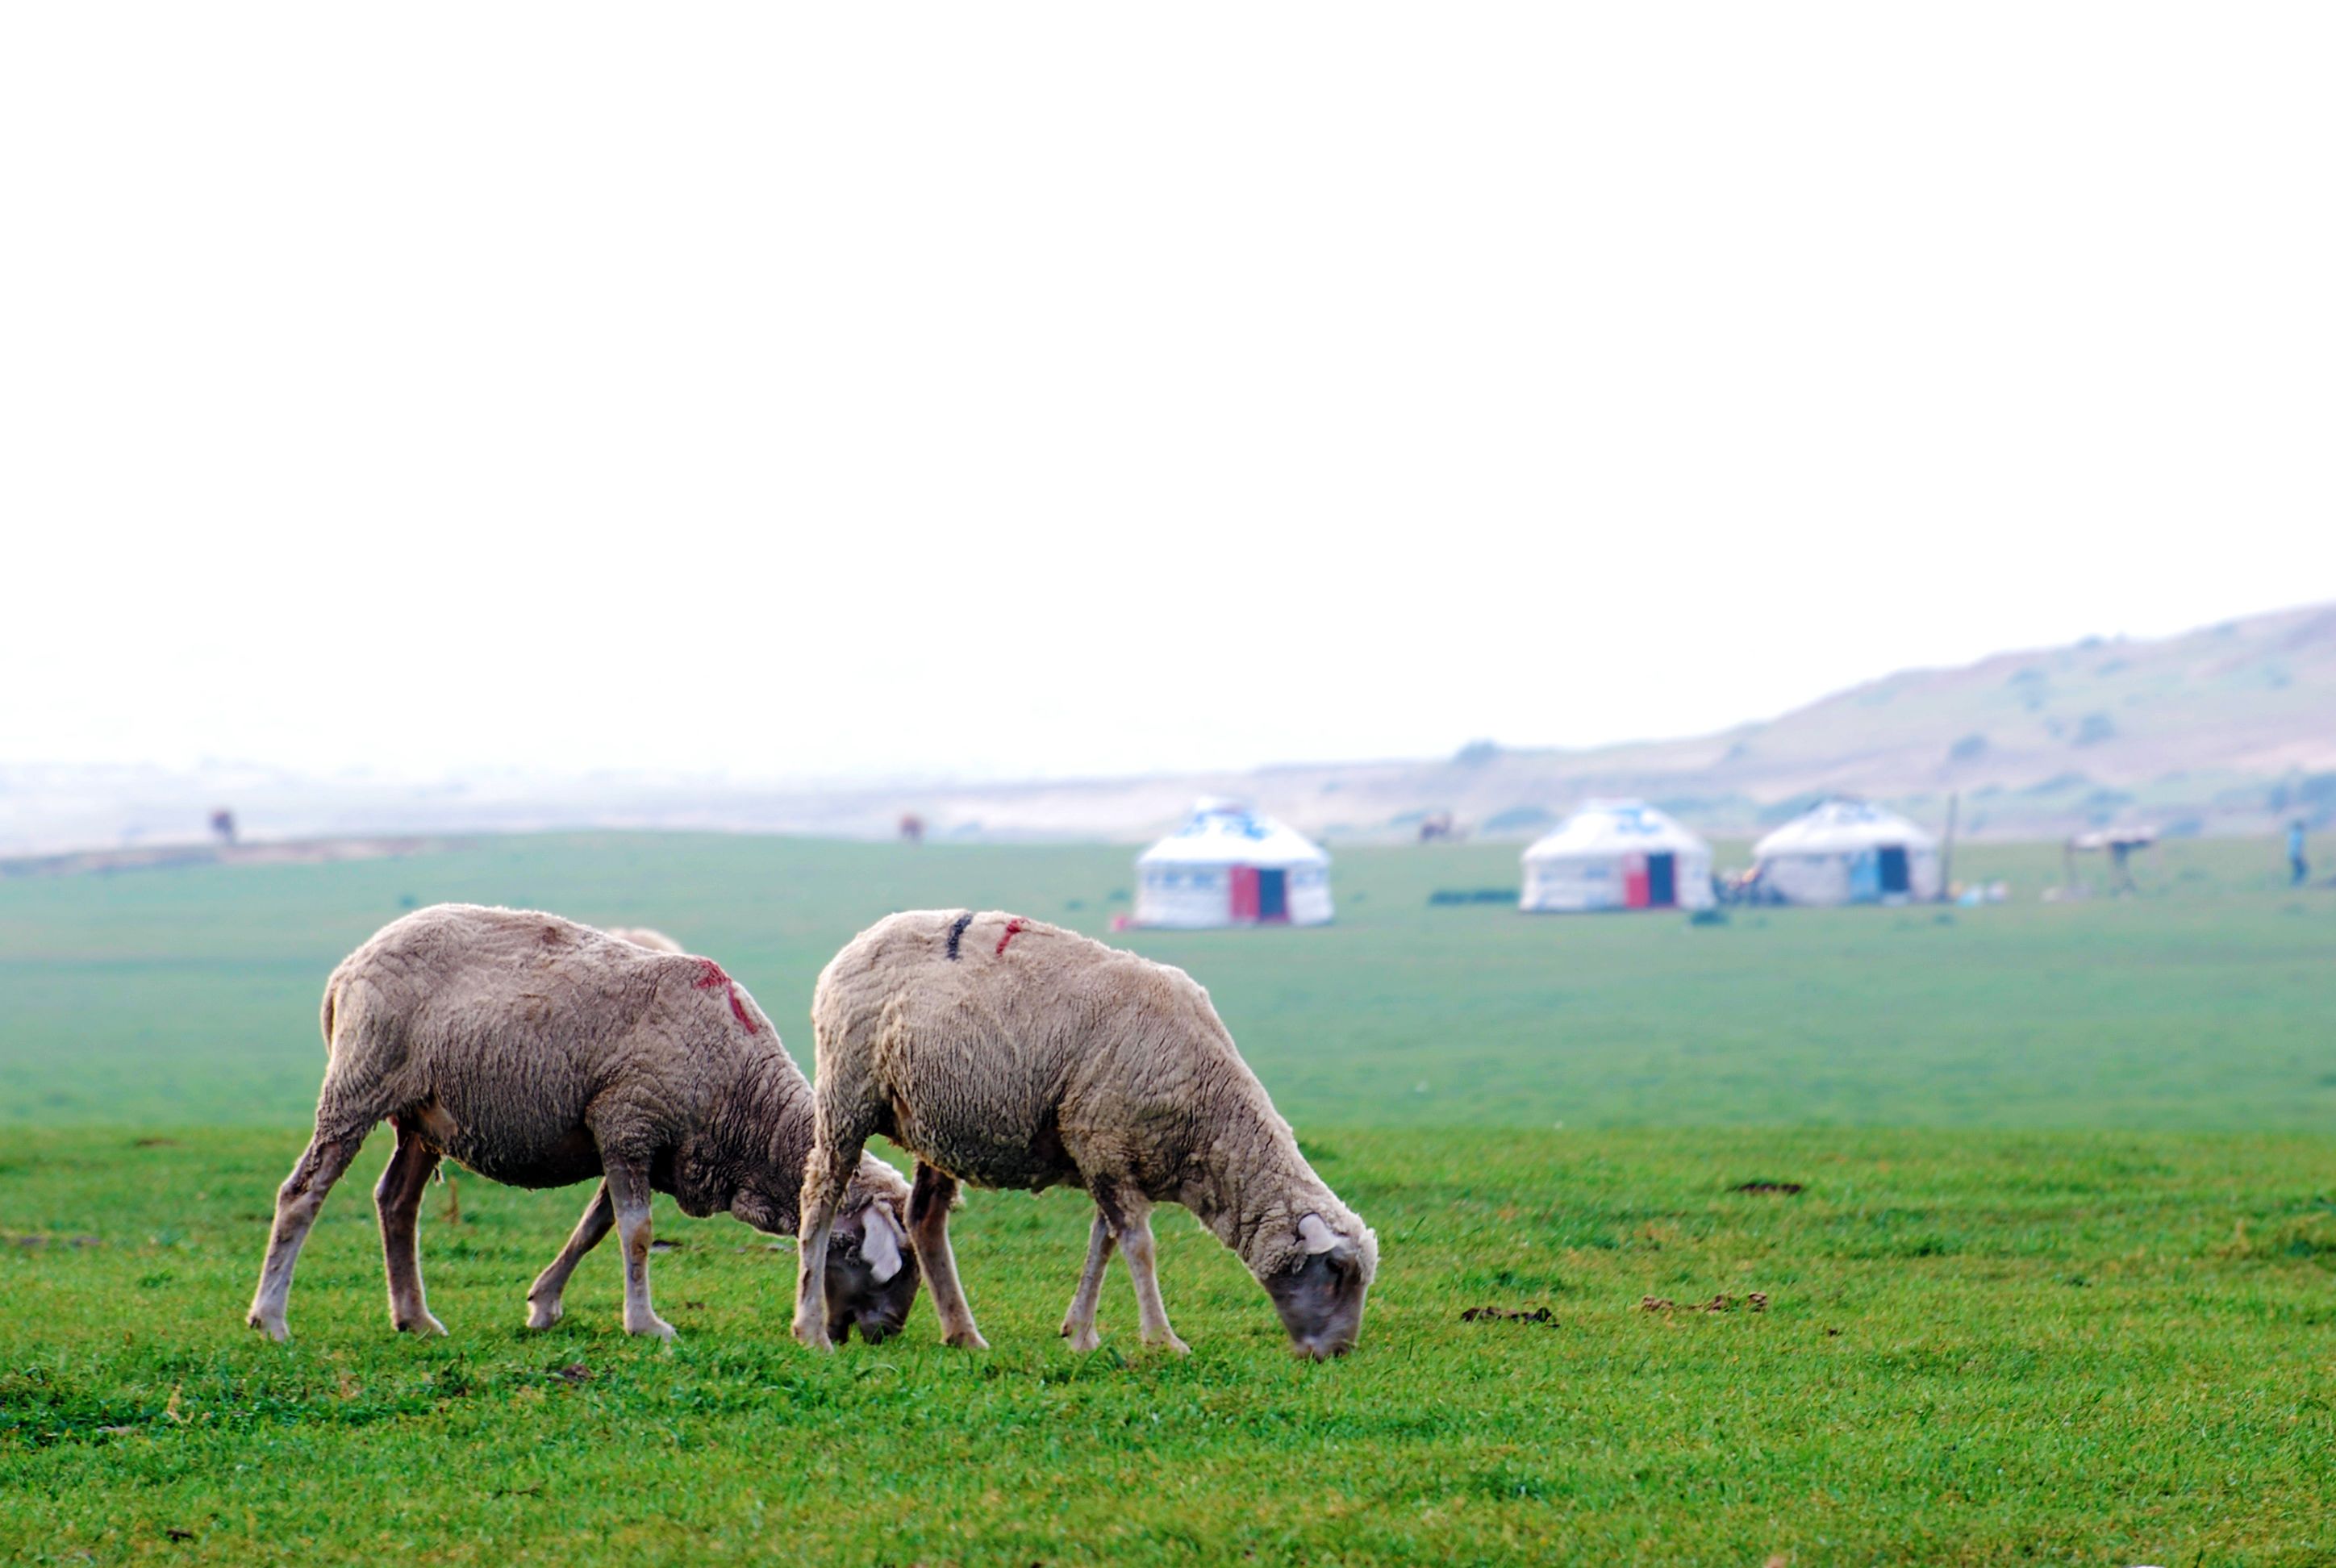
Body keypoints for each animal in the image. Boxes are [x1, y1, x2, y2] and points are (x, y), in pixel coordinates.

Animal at [246, 903, 920, 1345]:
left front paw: (544, 1304)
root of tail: (346, 969)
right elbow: (638, 1232)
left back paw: (415, 1318)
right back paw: (271, 1318)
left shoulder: (634, 1139)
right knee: (303, 1193)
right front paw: (646, 1325)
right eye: (888, 1259)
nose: (888, 1332)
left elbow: (596, 1227)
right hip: (359, 1082)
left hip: (423, 1116)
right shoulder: (629, 1122)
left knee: (396, 1203)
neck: (748, 1112)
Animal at [792, 910, 1378, 1359]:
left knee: (924, 1217)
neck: (1209, 1118)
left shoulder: (1112, 1154)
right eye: (1336, 1271)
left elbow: (1105, 1242)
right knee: (820, 1198)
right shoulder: (1102, 1141)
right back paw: (813, 1331)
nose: (1338, 1353)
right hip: (849, 1093)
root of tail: (860, 940)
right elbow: (1138, 1245)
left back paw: (963, 1334)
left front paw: (1081, 1334)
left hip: (937, 1119)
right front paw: (1163, 1340)